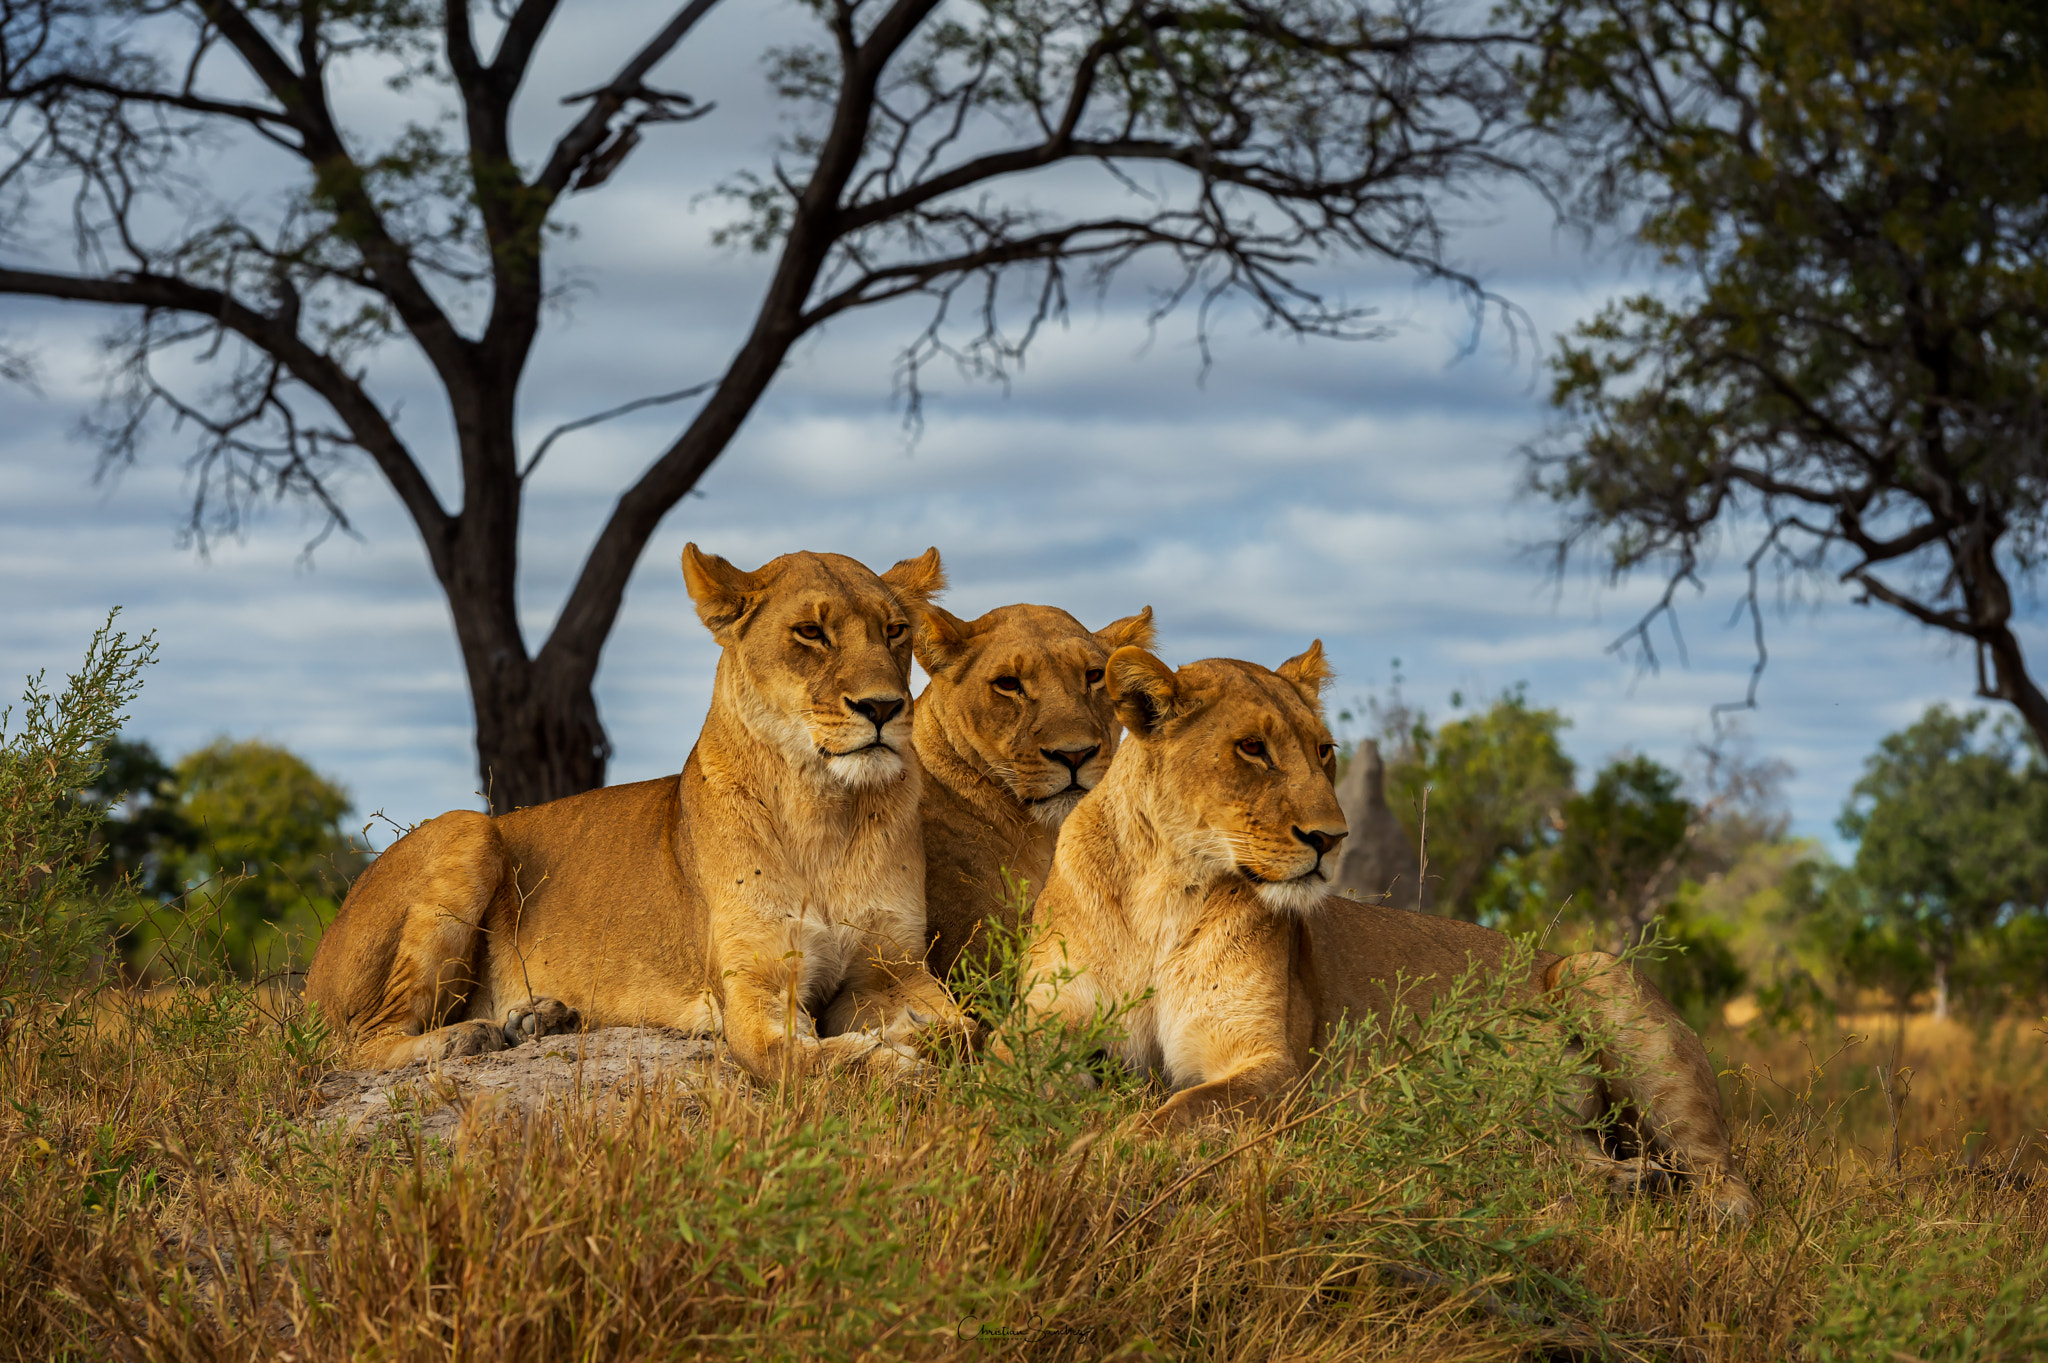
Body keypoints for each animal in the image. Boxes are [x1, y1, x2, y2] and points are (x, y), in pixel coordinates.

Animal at [305, 546, 971, 1082]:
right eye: (810, 632)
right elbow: (800, 1057)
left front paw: (924, 1039)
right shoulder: (754, 986)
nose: (884, 707)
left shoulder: (894, 970)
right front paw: (897, 1061)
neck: (826, 811)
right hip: (467, 830)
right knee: (355, 1043)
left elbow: (963, 1030)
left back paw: (539, 1019)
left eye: (896, 630)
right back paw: (467, 1038)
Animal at [1016, 642, 1758, 1220]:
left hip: (1593, 971)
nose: (1330, 838)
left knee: (1729, 1180)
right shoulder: (1044, 1028)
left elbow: (1174, 1114)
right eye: (1252, 748)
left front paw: (1090, 1154)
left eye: (1323, 751)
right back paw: (1624, 1183)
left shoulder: (1273, 1068)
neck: (1166, 886)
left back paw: (1692, 1203)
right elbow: (1009, 1080)